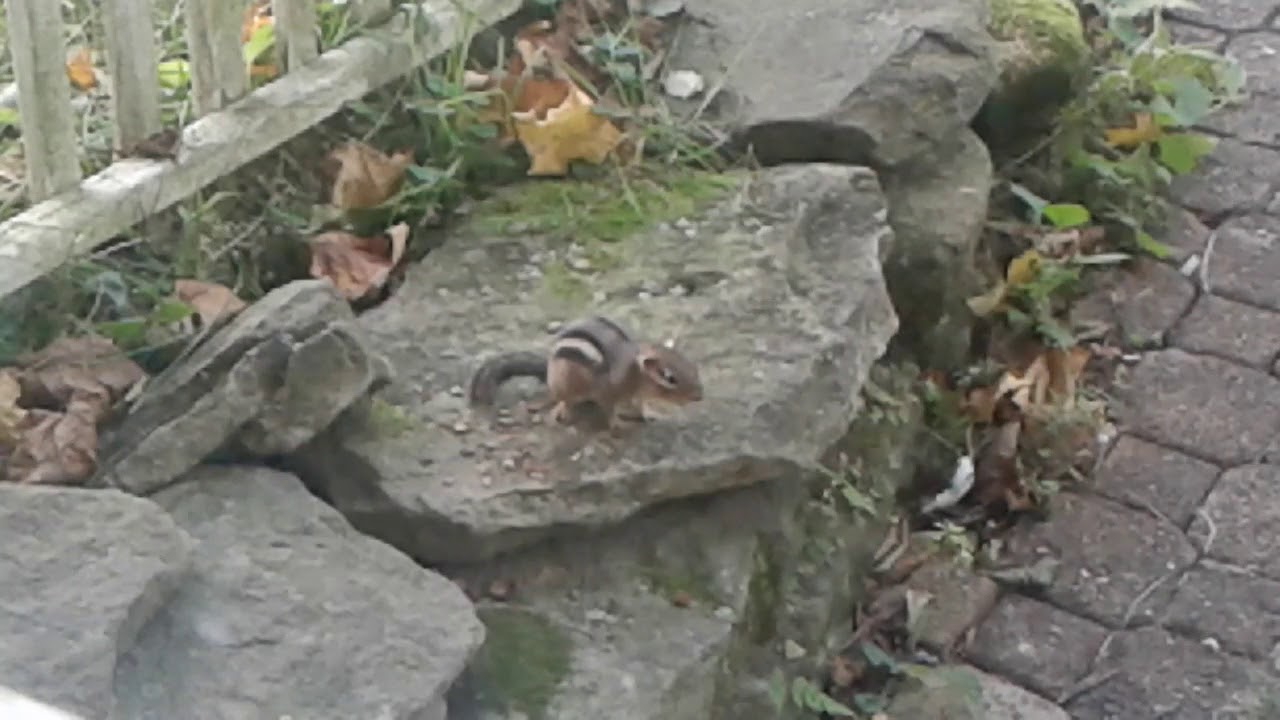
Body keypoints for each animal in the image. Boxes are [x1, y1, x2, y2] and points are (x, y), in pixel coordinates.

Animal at [467, 315, 704, 430]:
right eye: (670, 378)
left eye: (691, 365)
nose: (699, 396)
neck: (634, 373)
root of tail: (549, 365)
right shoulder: (606, 392)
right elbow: (610, 413)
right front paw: (620, 424)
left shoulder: (636, 396)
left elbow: (640, 406)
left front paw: (650, 415)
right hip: (563, 381)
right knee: (561, 397)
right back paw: (561, 410)